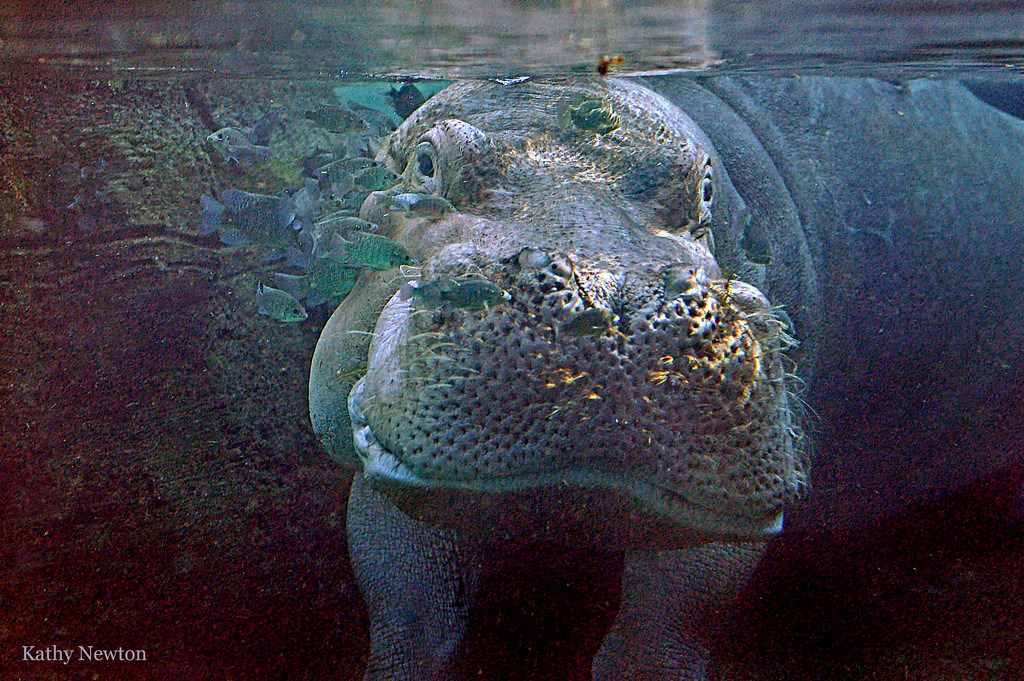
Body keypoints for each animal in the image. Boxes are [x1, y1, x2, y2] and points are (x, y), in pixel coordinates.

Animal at [308, 76, 1024, 679]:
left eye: (707, 188)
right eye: (426, 163)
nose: (616, 303)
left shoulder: (728, 512)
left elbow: (666, 627)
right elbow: (410, 614)